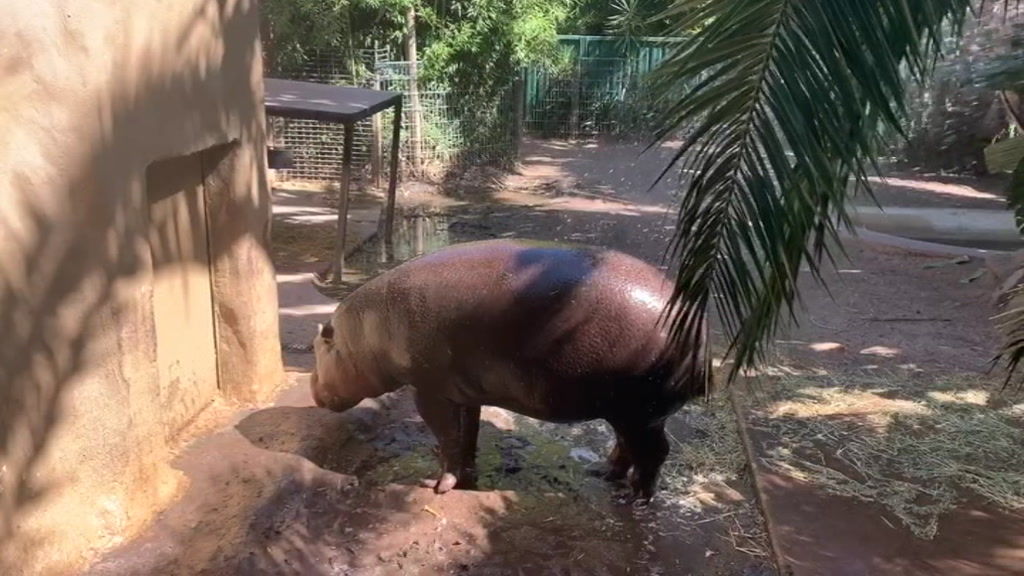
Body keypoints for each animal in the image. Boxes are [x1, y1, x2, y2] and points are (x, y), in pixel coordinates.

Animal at [311, 239, 709, 501]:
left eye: (319, 349)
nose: (312, 388)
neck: (364, 332)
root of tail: (701, 329)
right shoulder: (462, 390)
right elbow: (466, 433)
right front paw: (467, 473)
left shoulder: (430, 392)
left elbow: (447, 436)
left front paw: (436, 486)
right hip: (625, 412)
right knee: (627, 447)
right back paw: (603, 474)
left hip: (640, 413)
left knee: (655, 453)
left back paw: (635, 499)